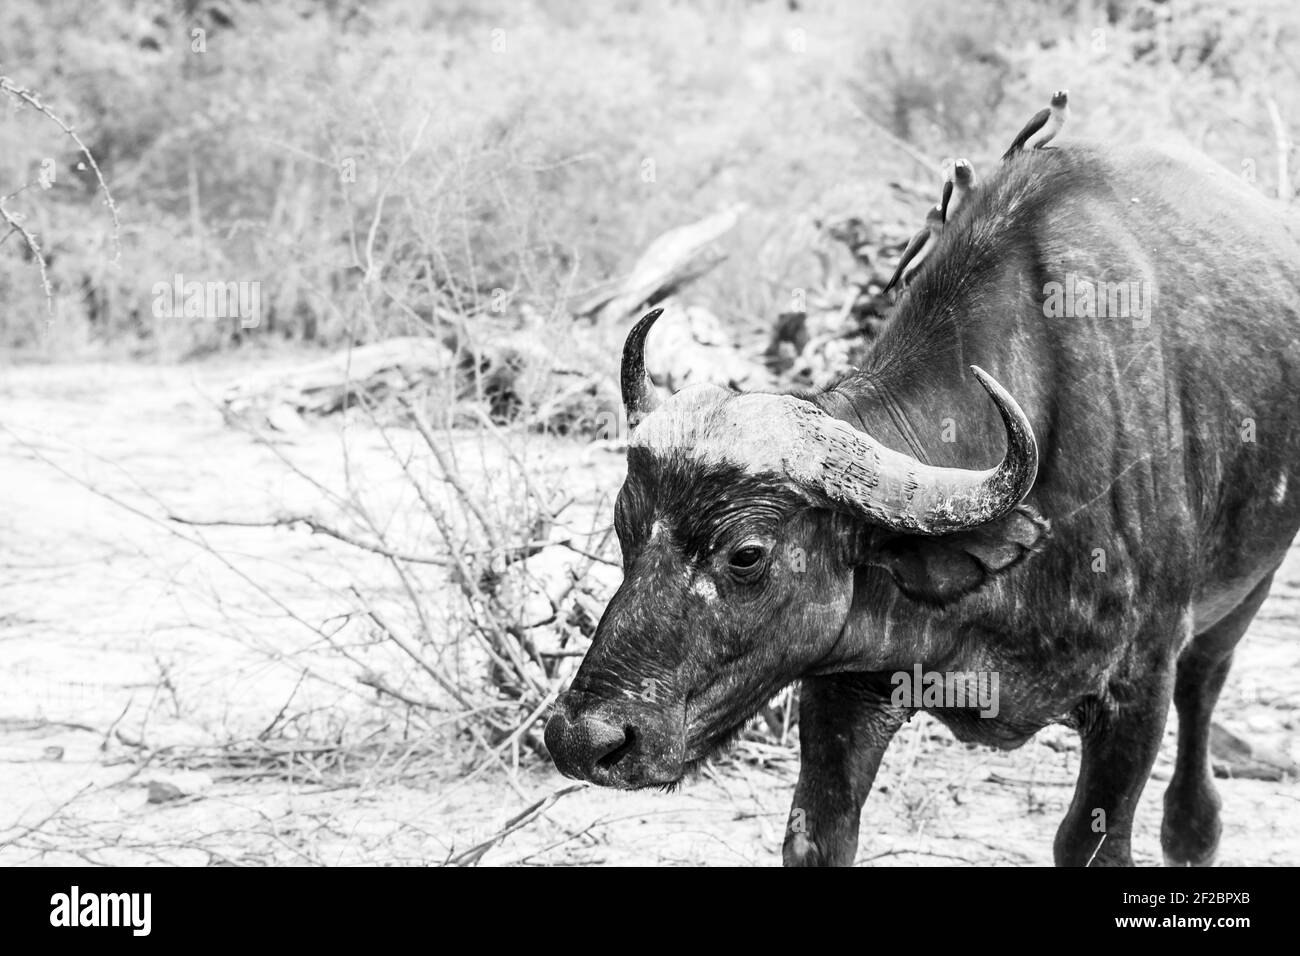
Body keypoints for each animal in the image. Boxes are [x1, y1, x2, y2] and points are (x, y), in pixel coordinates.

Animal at [544, 141, 1300, 866]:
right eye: (624, 528)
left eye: (747, 555)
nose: (583, 739)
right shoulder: (847, 689)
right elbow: (816, 834)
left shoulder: (1135, 694)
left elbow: (1095, 840)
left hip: (1249, 590)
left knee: (1203, 685)